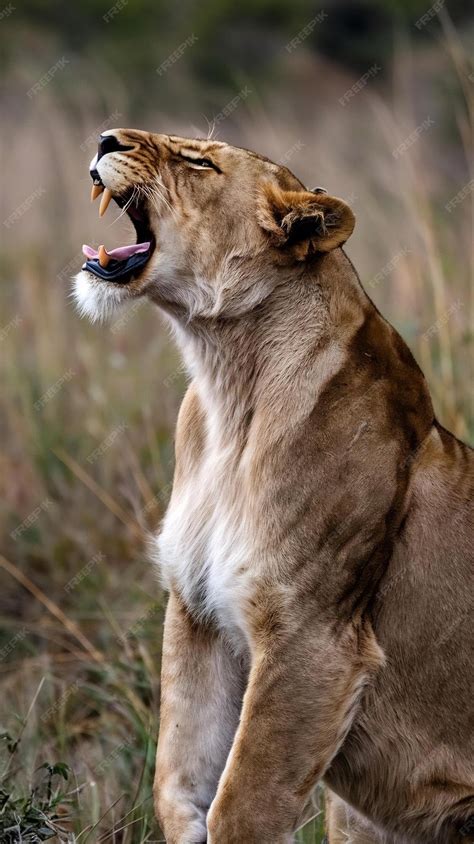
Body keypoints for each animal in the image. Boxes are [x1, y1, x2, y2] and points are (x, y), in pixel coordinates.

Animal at [74, 129, 474, 844]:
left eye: (199, 161)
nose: (104, 137)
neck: (228, 382)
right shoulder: (195, 606)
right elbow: (177, 775)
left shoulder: (309, 634)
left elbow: (243, 803)